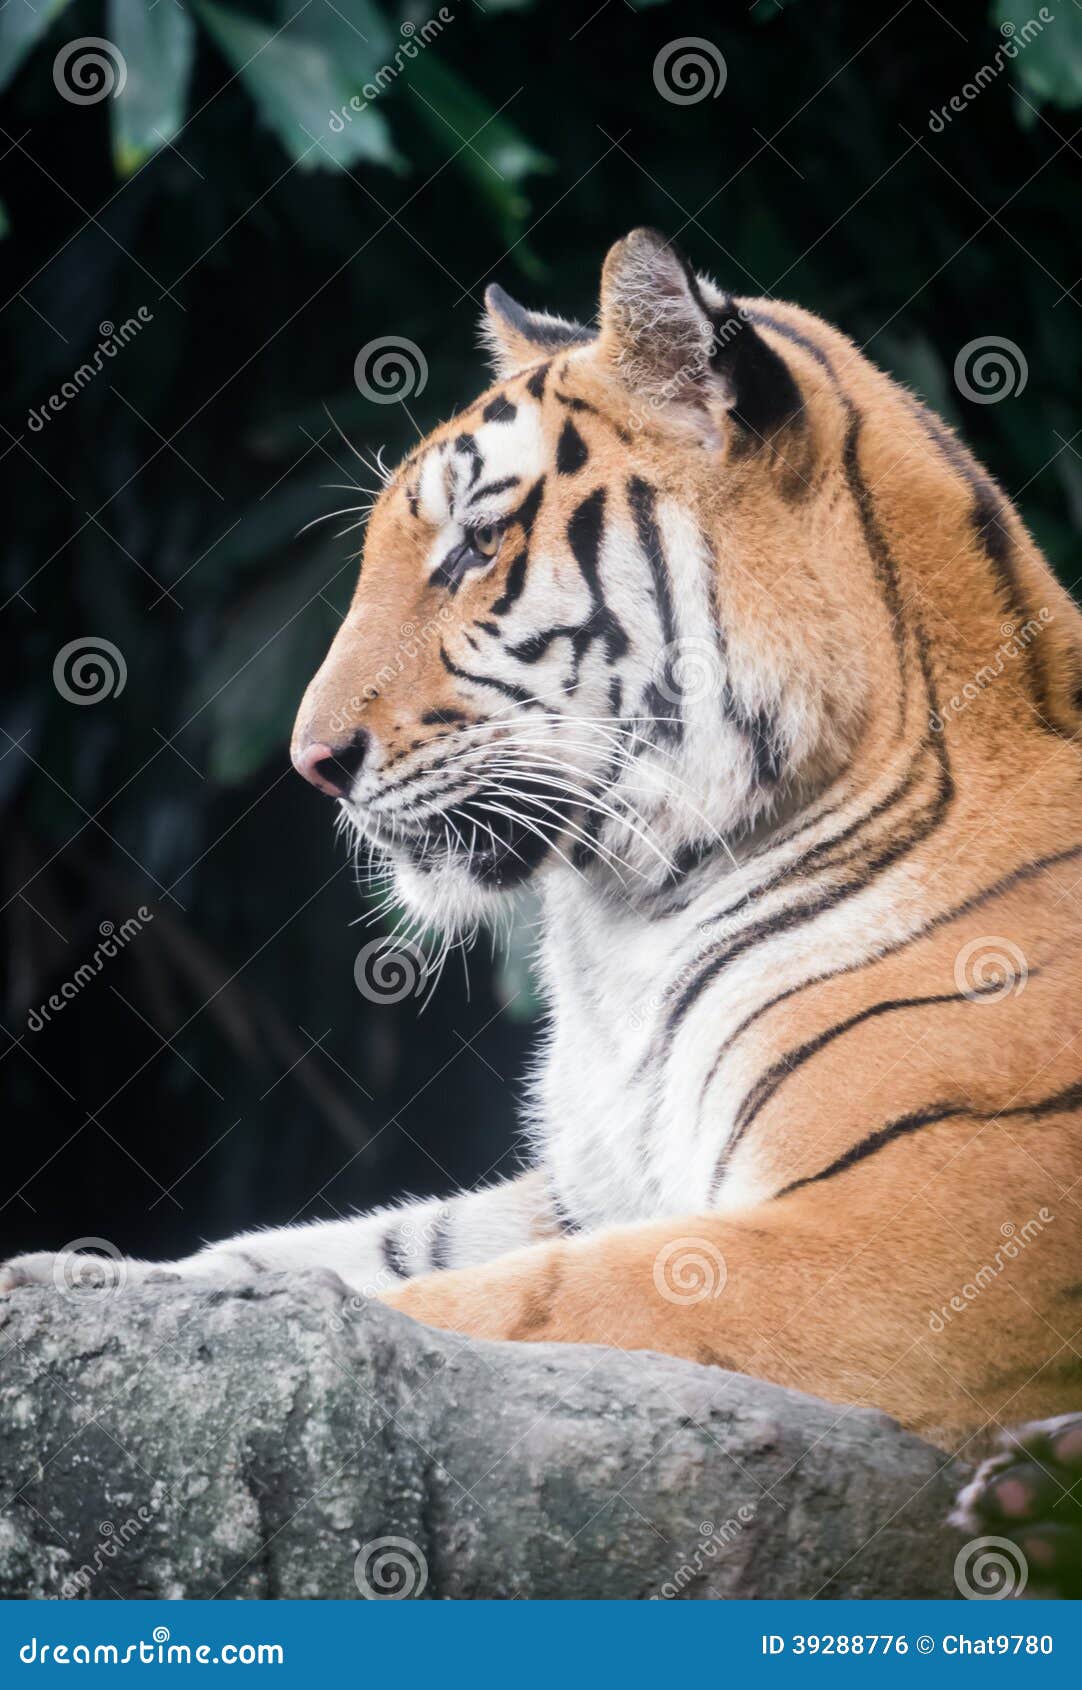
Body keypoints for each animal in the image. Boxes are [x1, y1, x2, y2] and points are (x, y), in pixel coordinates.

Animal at [5, 230, 1082, 1589]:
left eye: (473, 547)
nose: (311, 763)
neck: (630, 925)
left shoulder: (912, 1241)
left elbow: (506, 1304)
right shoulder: (593, 1184)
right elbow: (327, 1255)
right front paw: (82, 1285)